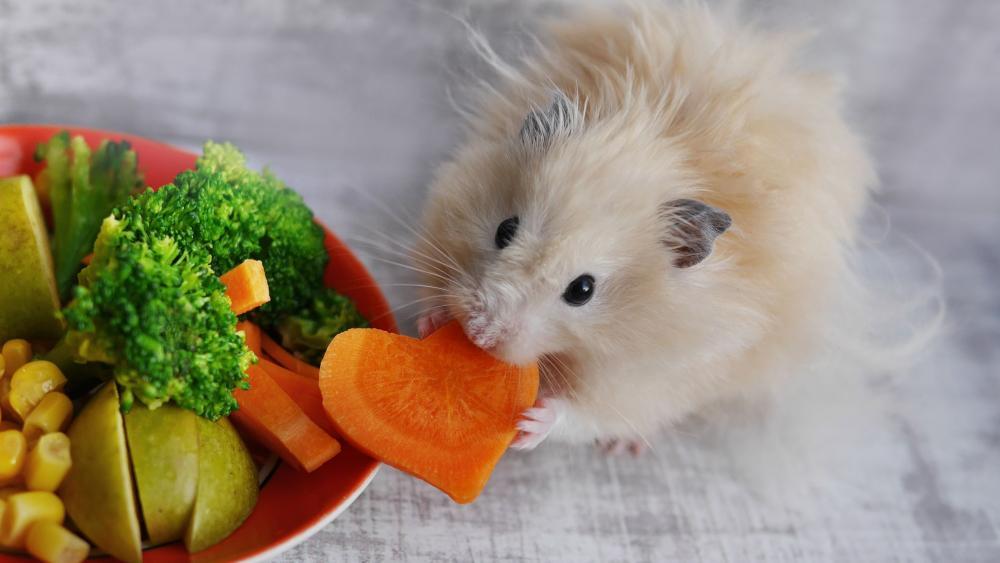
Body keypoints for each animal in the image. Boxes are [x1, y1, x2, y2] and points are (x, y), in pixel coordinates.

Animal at [414, 3, 874, 450]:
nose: (479, 334)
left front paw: (531, 422)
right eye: (504, 230)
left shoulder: (653, 379)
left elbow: (589, 414)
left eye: (582, 290)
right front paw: (432, 321)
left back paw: (624, 448)